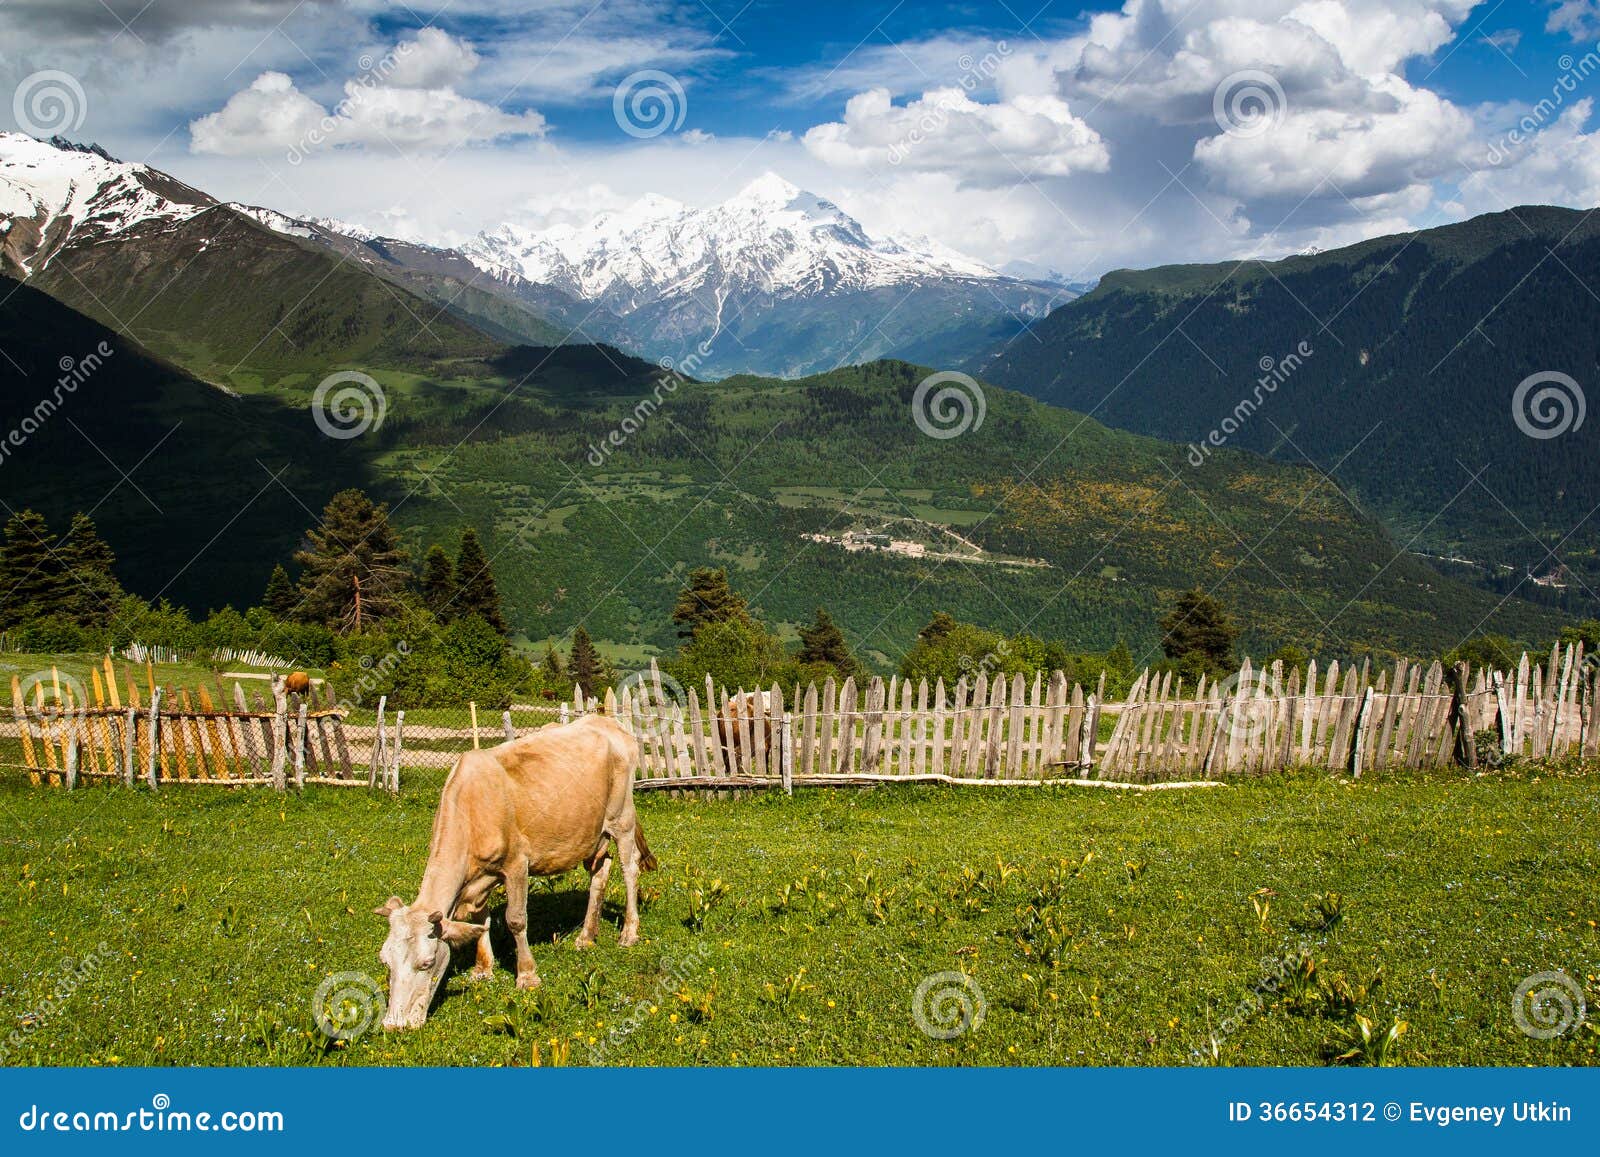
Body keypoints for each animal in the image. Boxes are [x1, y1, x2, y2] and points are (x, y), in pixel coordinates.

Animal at [373, 713, 656, 1030]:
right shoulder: (483, 875)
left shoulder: (517, 864)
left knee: (629, 867)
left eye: (427, 962)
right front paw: (483, 969)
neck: (473, 809)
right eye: (385, 961)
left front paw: (527, 976)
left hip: (622, 818)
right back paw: (586, 937)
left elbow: (516, 920)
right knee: (600, 870)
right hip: (590, 834)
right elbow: (480, 920)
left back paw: (629, 933)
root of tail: (606, 721)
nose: (394, 1025)